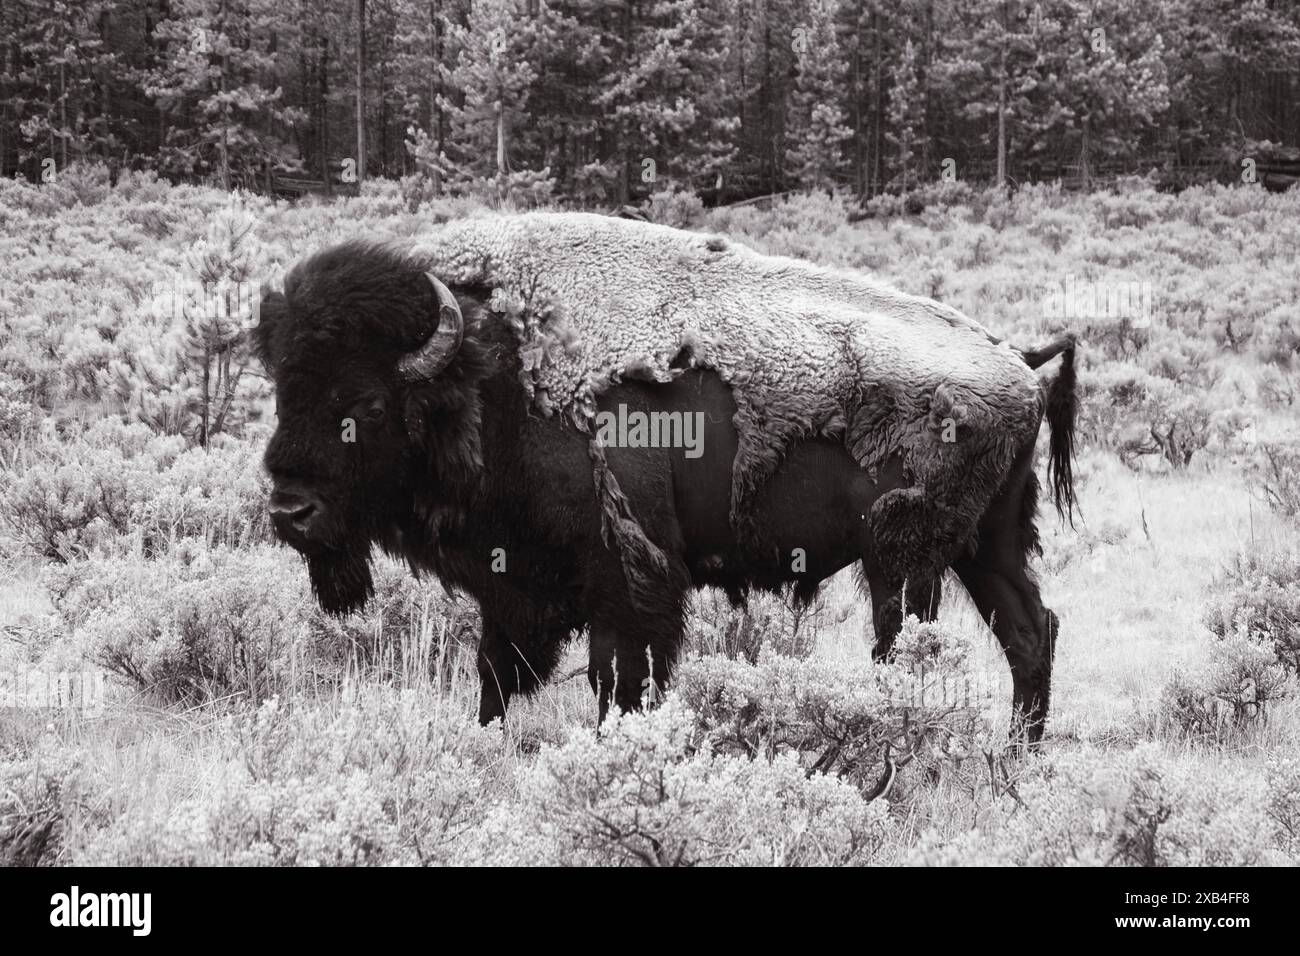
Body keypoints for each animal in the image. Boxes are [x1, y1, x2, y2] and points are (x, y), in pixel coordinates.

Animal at [255, 238, 1076, 741]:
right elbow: (496, 675)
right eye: (282, 391)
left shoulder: (629, 577)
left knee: (910, 645)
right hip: (986, 546)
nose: (290, 510)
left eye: (365, 405)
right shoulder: (515, 585)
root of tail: (1017, 362)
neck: (493, 373)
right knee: (1030, 632)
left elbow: (618, 676)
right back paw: (1015, 757)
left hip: (904, 560)